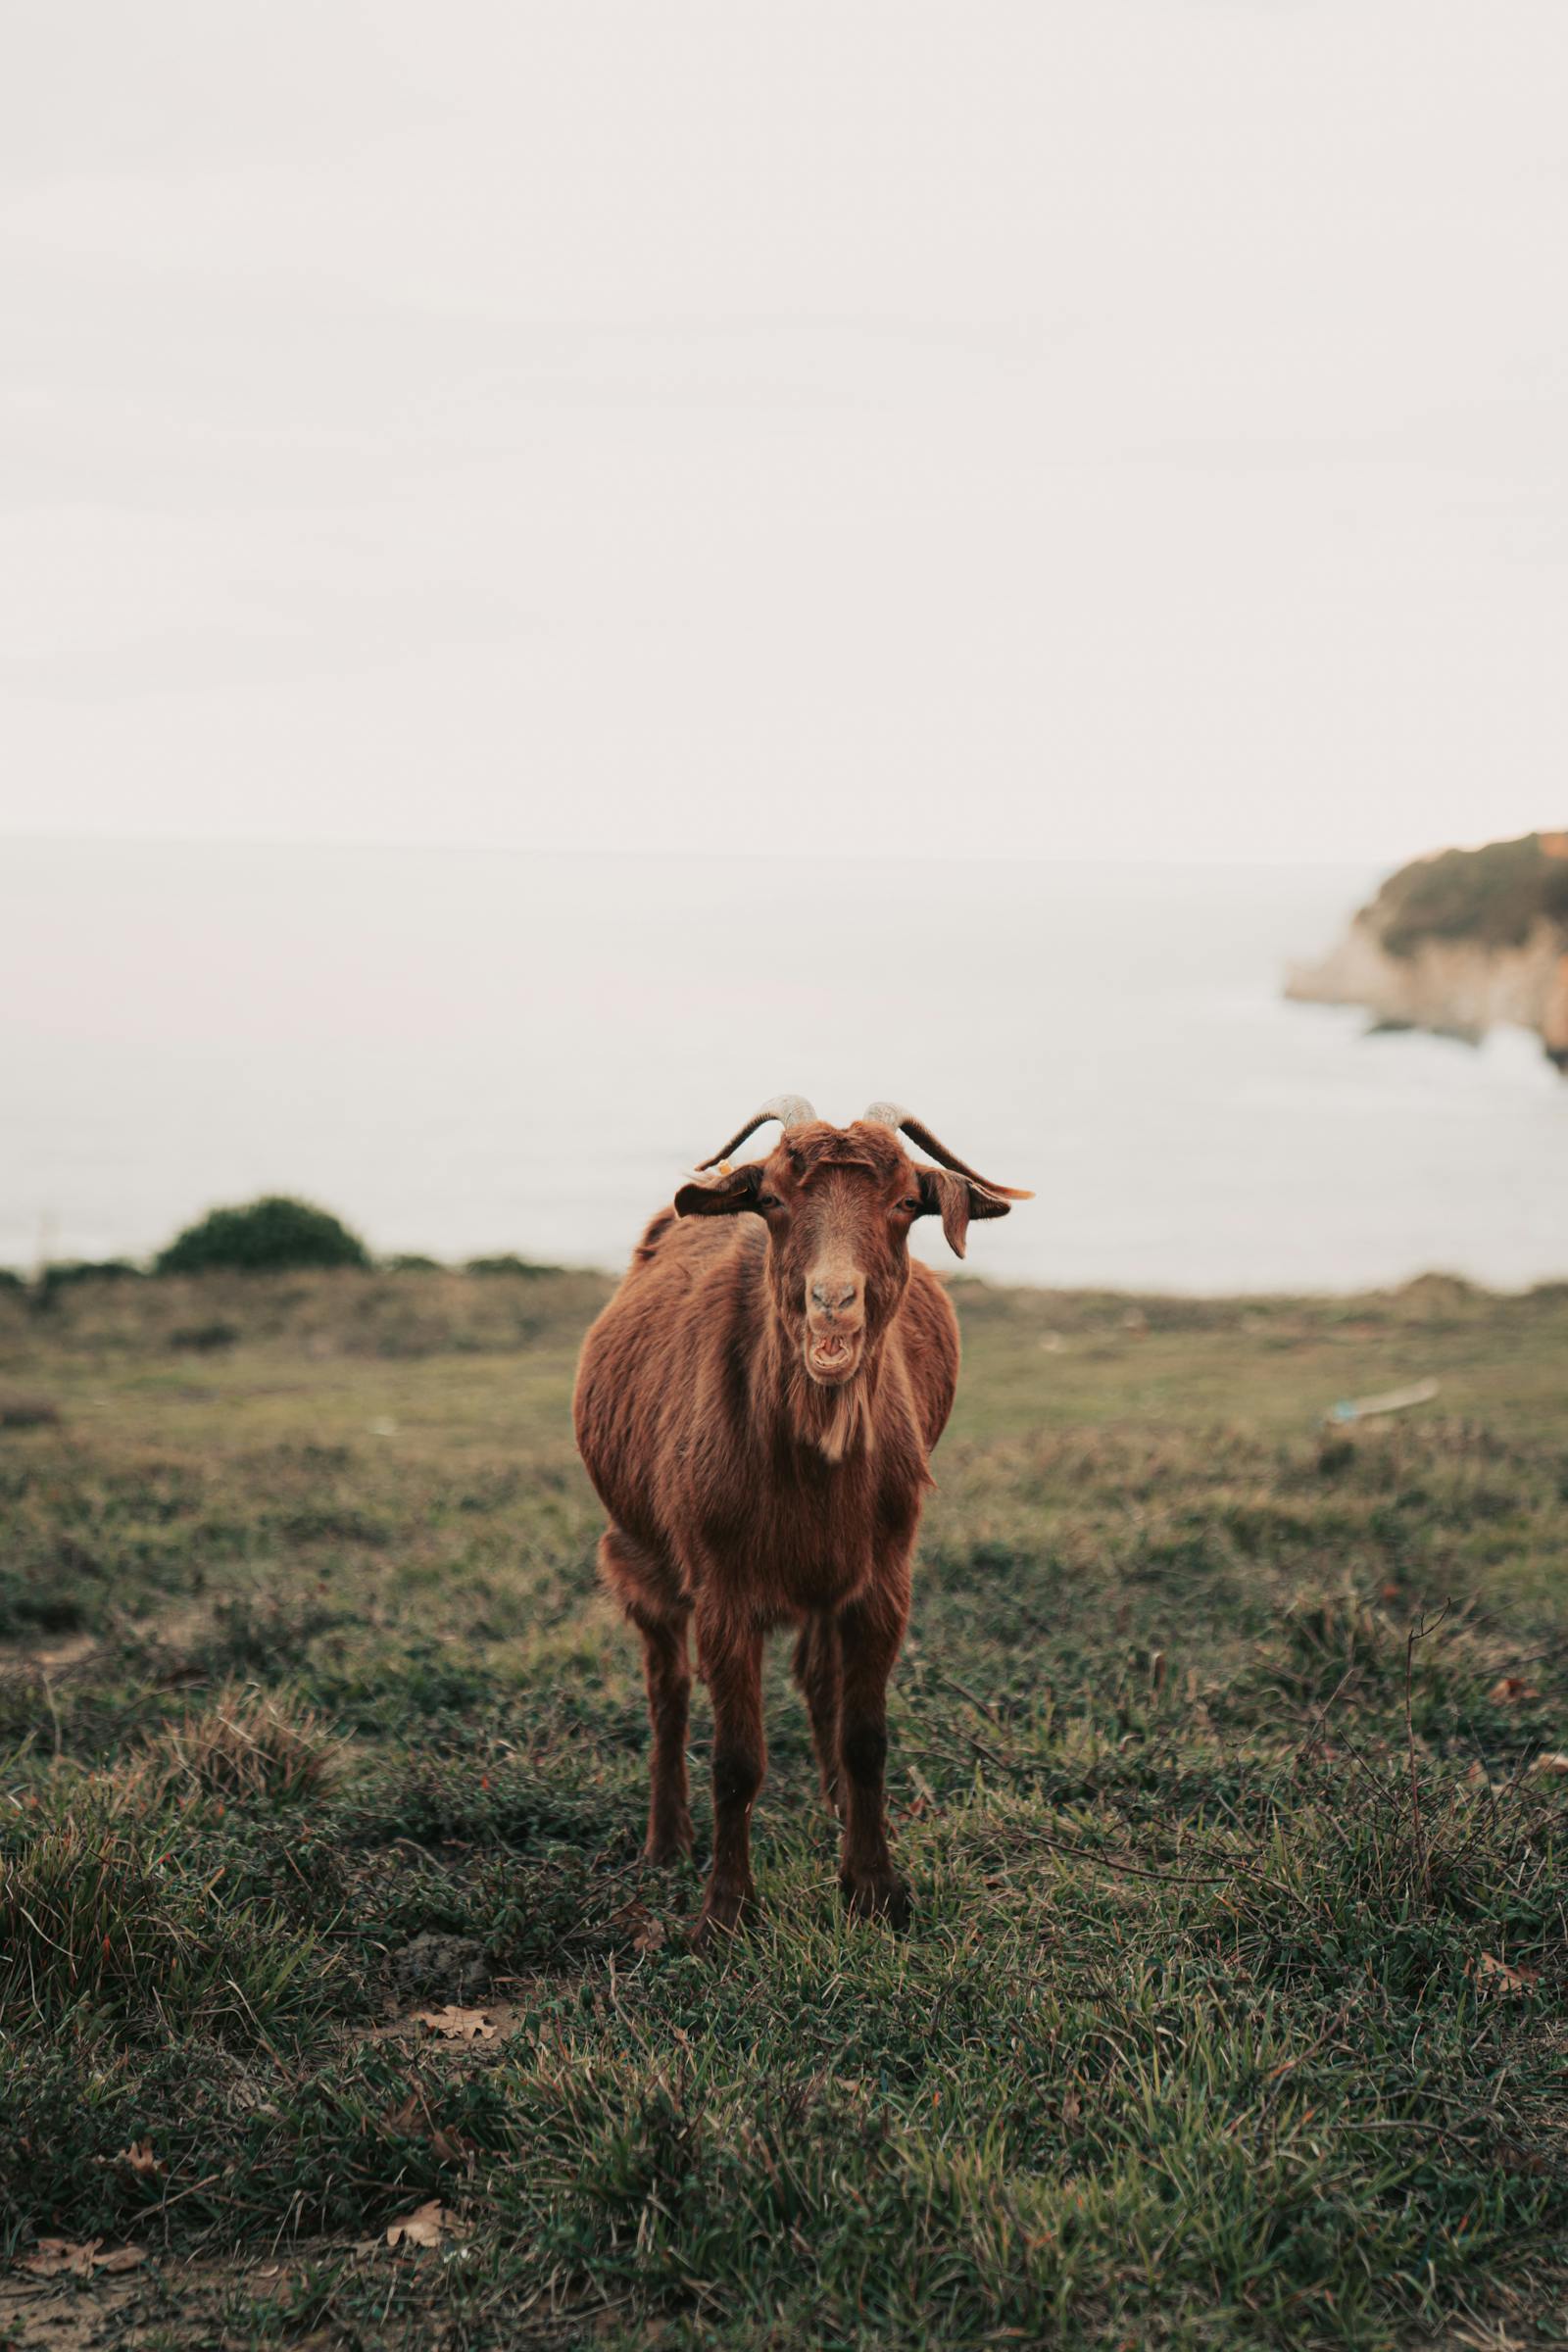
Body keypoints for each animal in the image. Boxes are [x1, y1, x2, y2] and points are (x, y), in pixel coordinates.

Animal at [573, 1096, 1029, 1948]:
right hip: (637, 1554)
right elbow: (736, 1759)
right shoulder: (722, 1587)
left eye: (905, 1204)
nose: (833, 1301)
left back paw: (838, 1809)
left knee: (818, 1681)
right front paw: (725, 1914)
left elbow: (865, 1737)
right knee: (666, 1688)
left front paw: (875, 1888)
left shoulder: (883, 1575)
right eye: (775, 1200)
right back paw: (665, 1843)